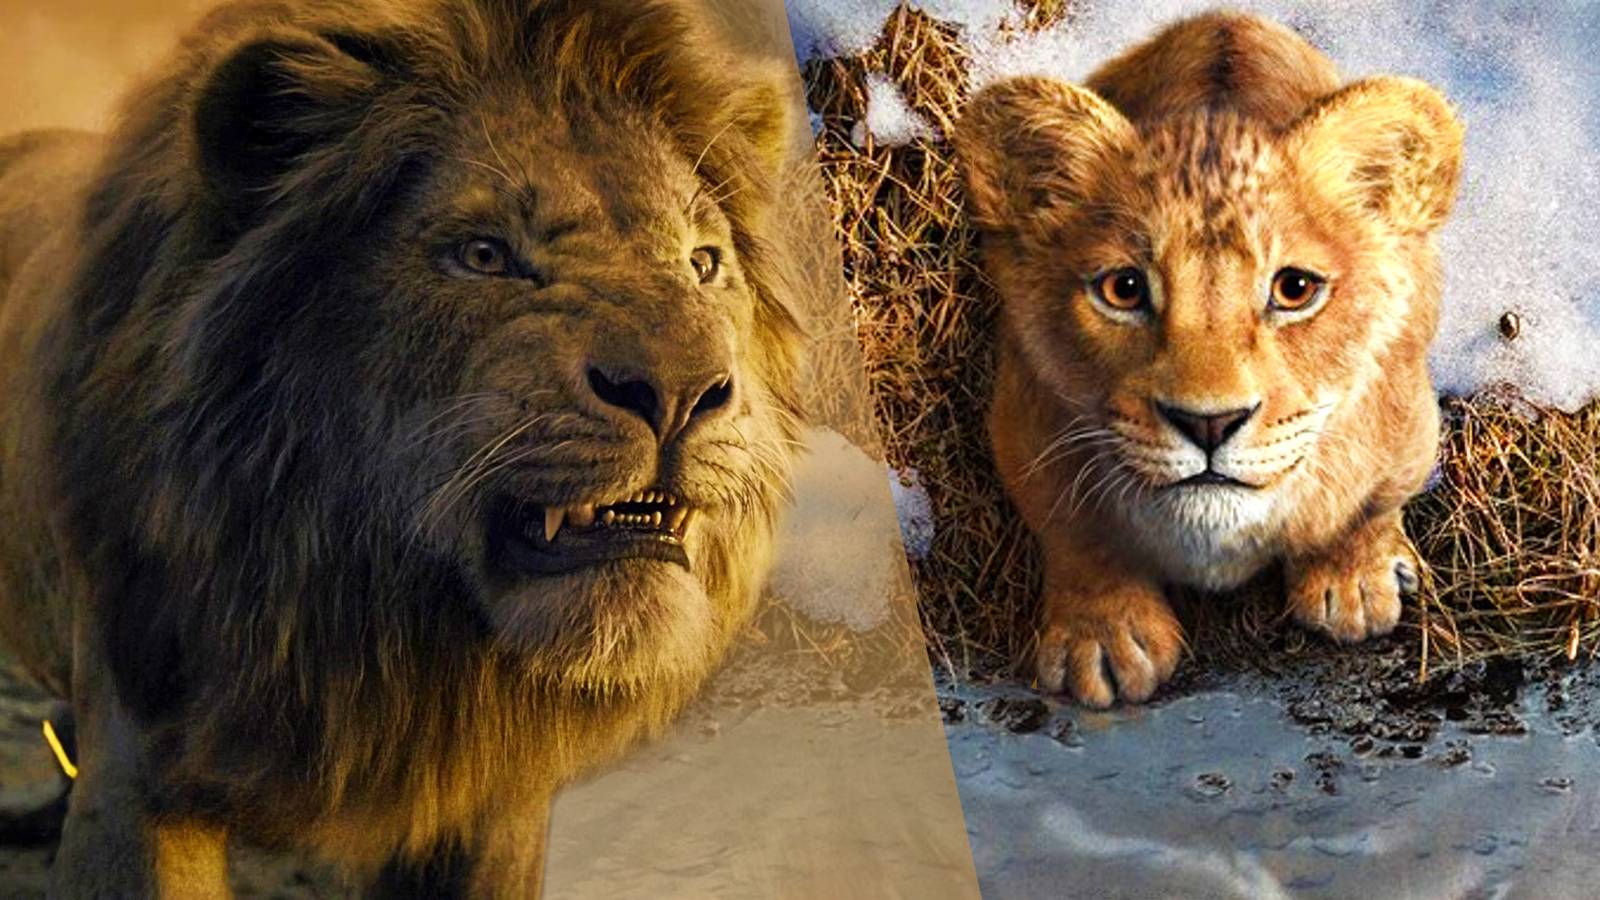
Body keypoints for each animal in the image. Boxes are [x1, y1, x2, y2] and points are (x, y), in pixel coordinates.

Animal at [954, 12, 1463, 709]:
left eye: (1294, 289)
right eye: (1124, 289)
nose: (1209, 424)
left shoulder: (1408, 421)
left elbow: (1369, 504)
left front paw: (1353, 582)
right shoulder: (1024, 423)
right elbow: (1075, 533)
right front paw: (1103, 638)